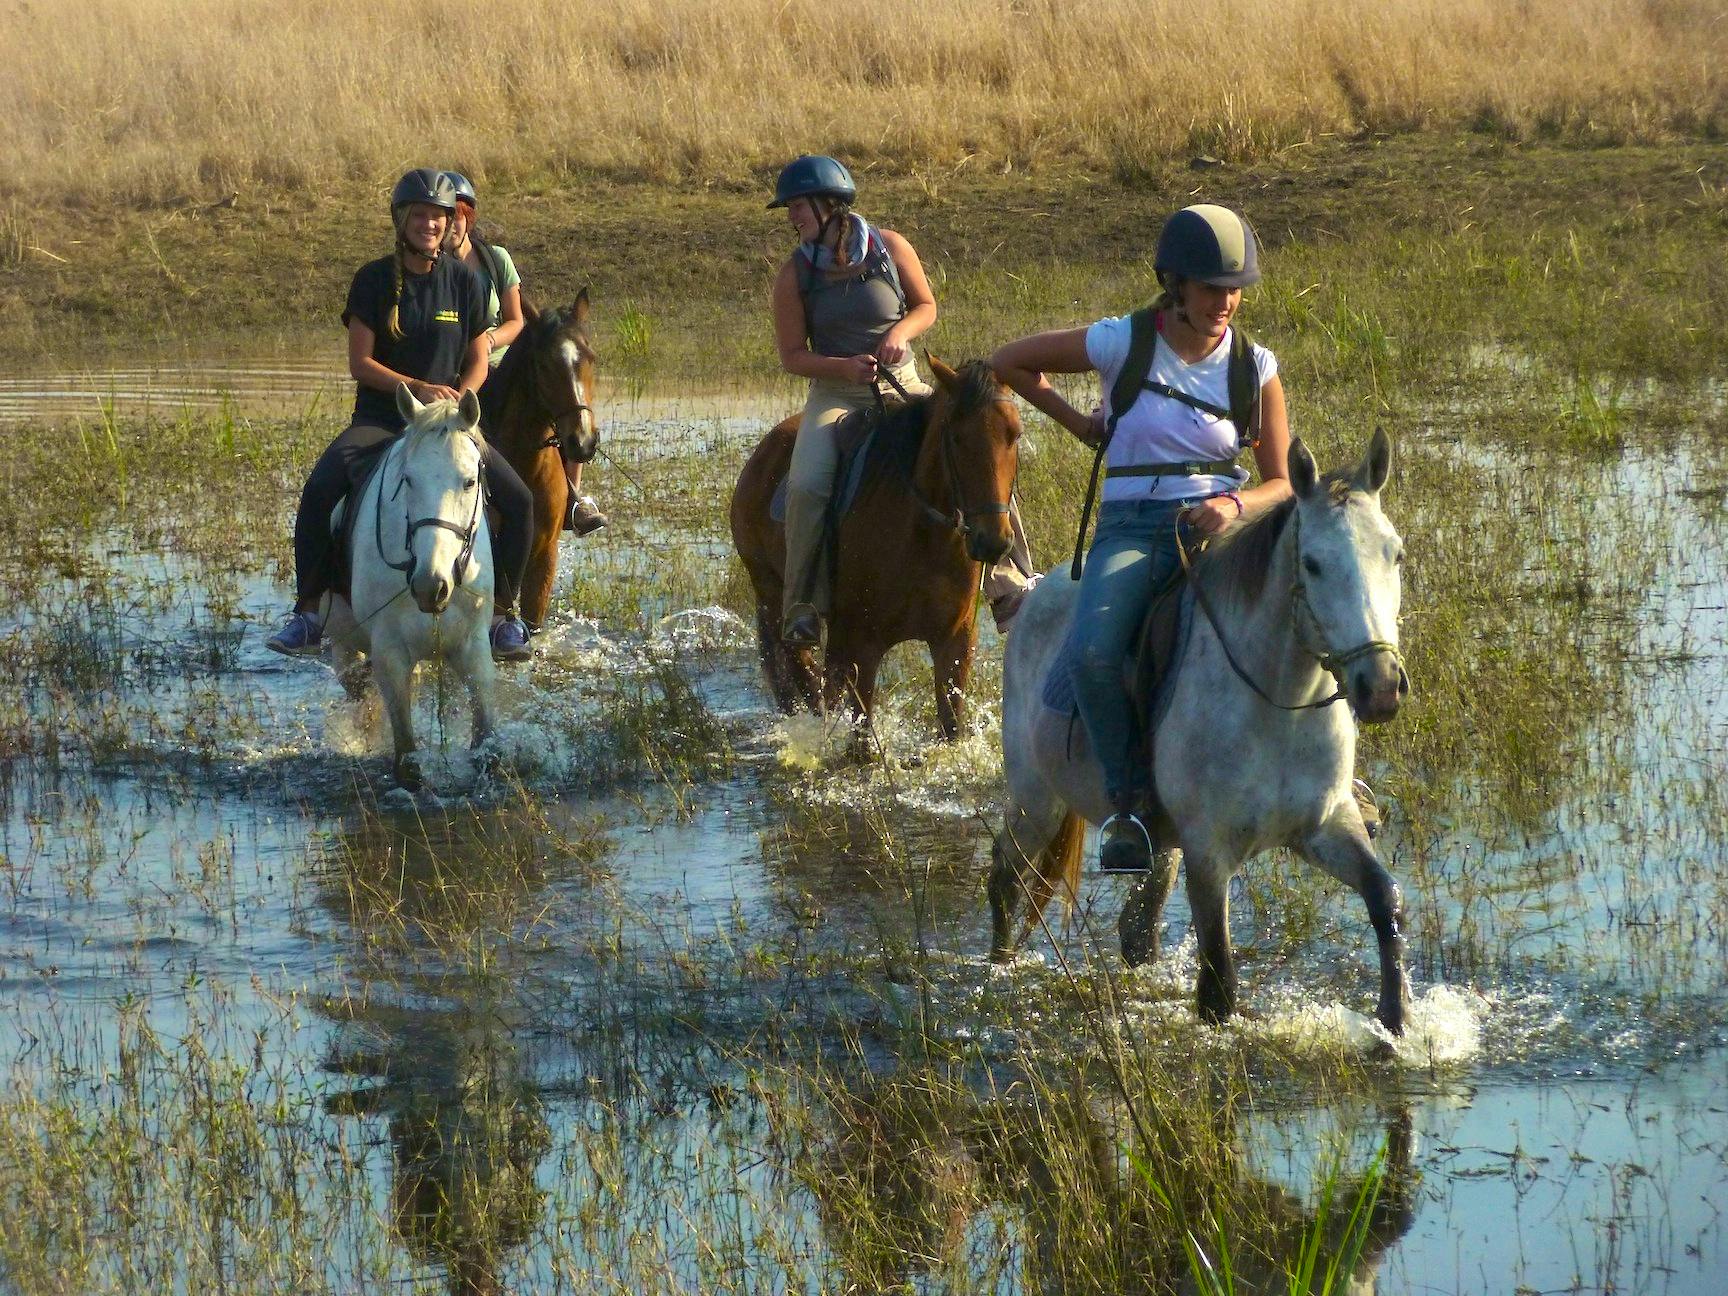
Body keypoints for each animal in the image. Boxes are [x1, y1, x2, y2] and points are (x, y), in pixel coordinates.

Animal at [325, 385, 498, 790]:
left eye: (469, 481)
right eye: (408, 480)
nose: (429, 587)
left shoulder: (473, 645)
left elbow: (486, 743)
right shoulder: (389, 653)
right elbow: (407, 762)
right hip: (344, 646)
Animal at [730, 357, 1020, 743]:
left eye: (1014, 434)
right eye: (956, 437)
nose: (993, 541)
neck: (923, 536)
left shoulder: (955, 642)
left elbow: (951, 727)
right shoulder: (862, 646)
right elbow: (862, 739)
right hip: (772, 592)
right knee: (801, 670)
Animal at [987, 430, 1413, 1034]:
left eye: (1394, 553)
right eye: (1312, 564)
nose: (1380, 686)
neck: (1277, 705)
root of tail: (1034, 594)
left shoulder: (1327, 825)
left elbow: (1385, 898)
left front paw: (1394, 1022)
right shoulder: (1210, 853)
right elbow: (1219, 986)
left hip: (1152, 835)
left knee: (1137, 925)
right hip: (1035, 800)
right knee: (1007, 875)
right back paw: (999, 969)